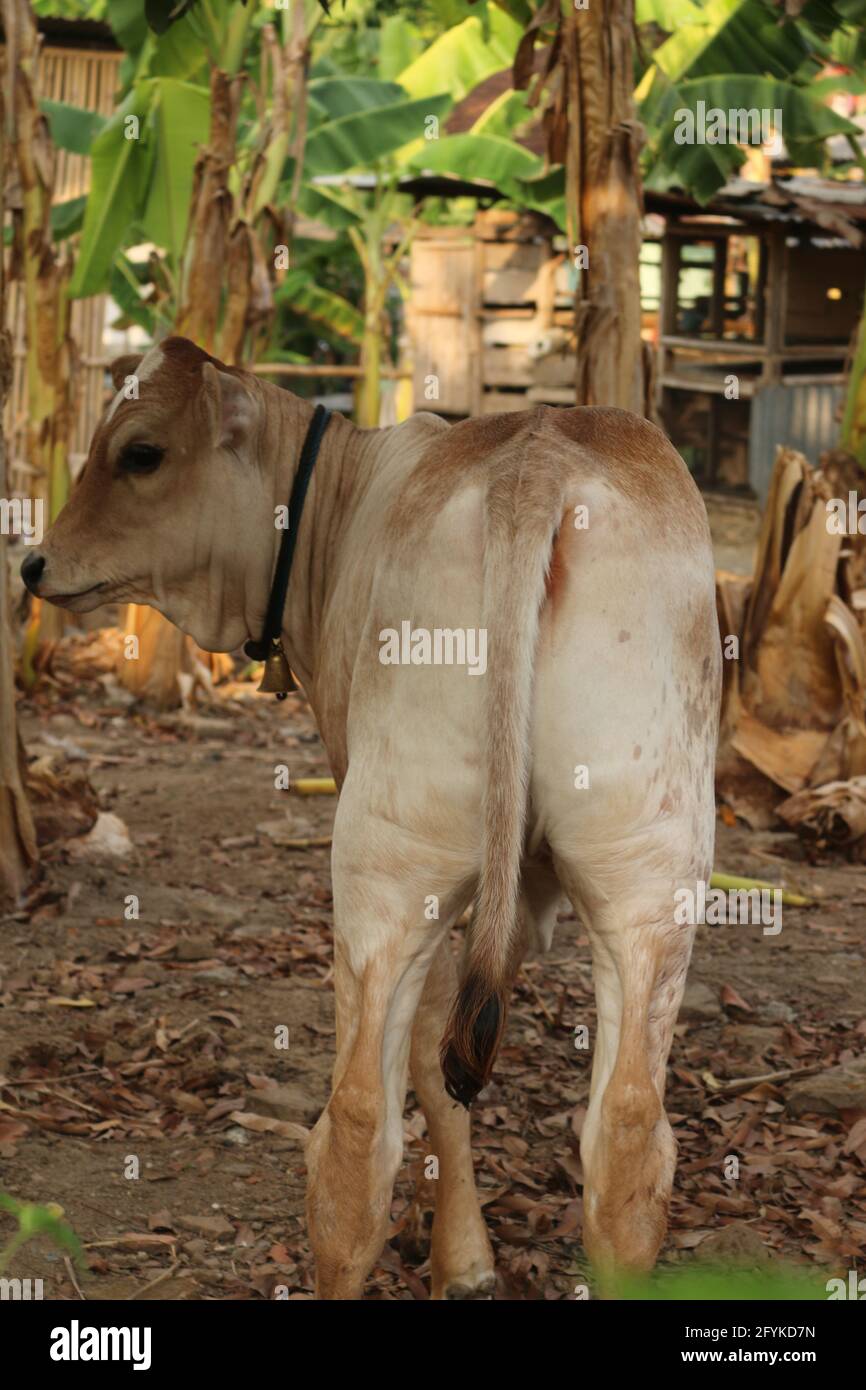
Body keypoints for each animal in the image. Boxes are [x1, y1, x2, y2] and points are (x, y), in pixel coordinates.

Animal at [22, 335, 722, 1299]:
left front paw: (462, 1261)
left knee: (356, 1129)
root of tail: (536, 463)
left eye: (140, 452)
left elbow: (426, 1054)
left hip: (386, 861)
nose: (34, 563)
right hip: (650, 868)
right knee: (626, 1137)